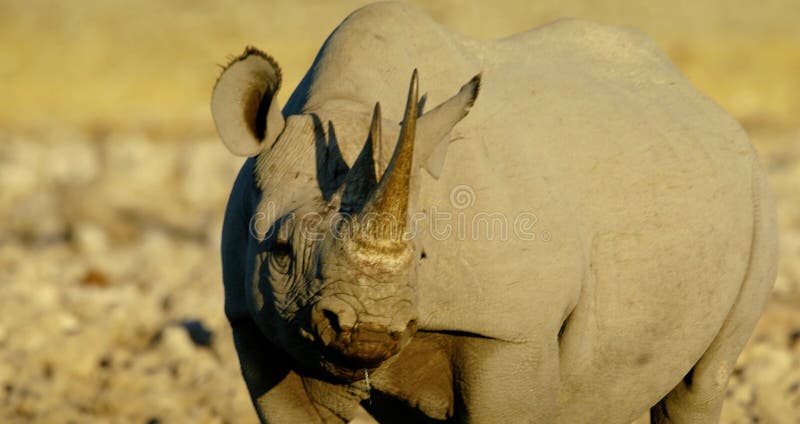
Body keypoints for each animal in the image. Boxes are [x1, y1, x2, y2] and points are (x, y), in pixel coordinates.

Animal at [212, 3, 778, 423]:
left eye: (423, 256)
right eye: (280, 252)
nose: (368, 330)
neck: (343, 102)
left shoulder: (510, 334)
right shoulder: (251, 324)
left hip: (756, 193)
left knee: (699, 385)